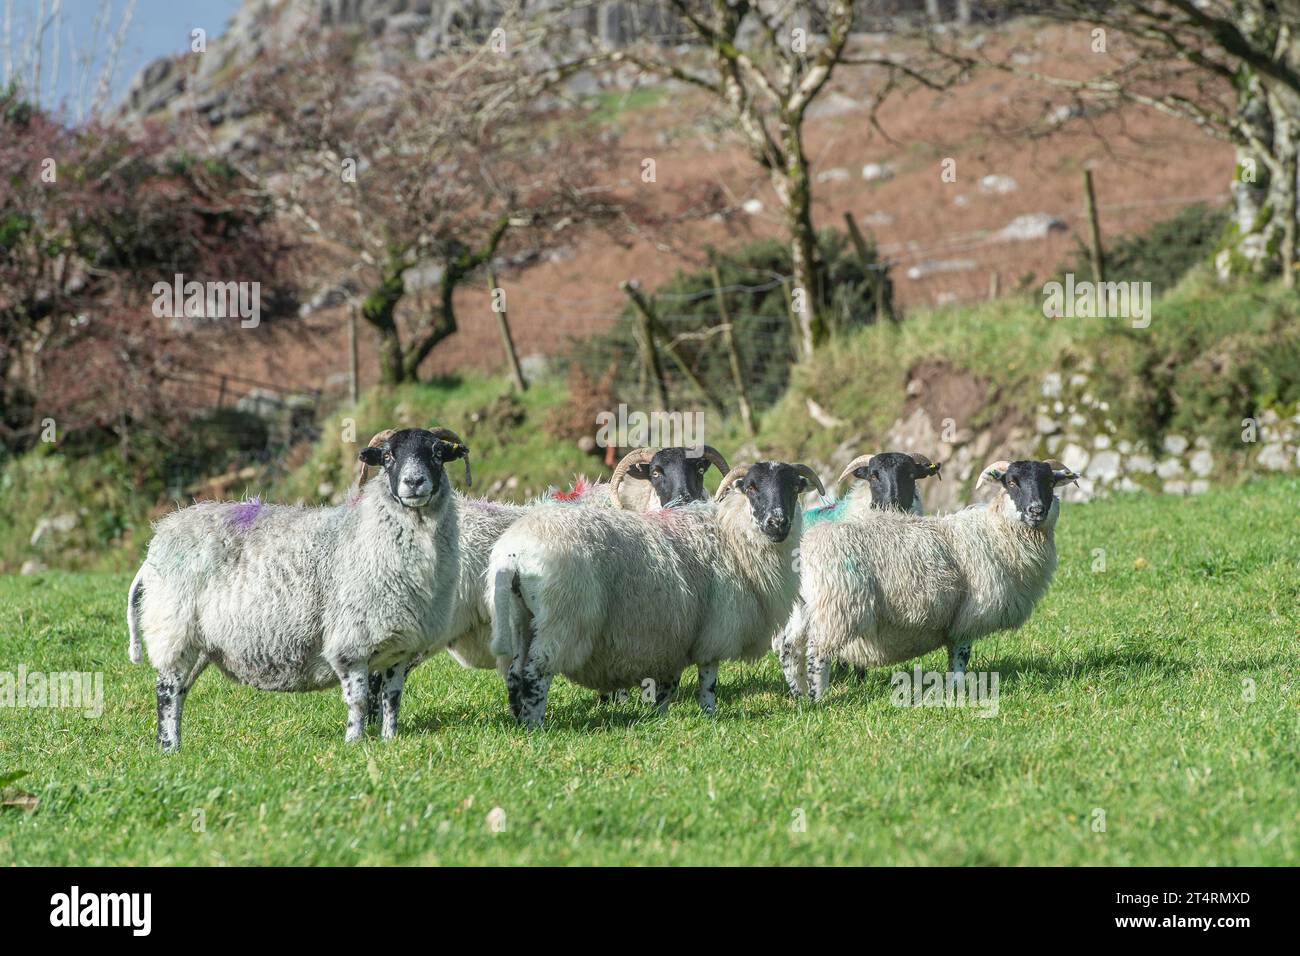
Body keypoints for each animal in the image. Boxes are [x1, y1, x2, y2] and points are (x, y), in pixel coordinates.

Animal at [126, 427, 470, 750]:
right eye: (388, 457)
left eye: (438, 453)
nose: (414, 482)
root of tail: (158, 541)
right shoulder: (350, 643)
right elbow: (358, 700)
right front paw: (354, 743)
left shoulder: (399, 649)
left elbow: (392, 700)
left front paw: (389, 740)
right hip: (173, 629)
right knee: (167, 691)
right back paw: (169, 747)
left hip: (200, 642)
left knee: (181, 691)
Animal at [487, 460, 825, 727]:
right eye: (752, 487)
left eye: (794, 487)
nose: (777, 523)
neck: (731, 534)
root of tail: (513, 553)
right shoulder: (714, 630)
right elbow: (708, 680)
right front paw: (710, 716)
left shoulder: (672, 636)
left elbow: (667, 687)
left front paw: (659, 718)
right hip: (562, 620)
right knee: (535, 672)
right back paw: (536, 726)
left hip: (520, 618)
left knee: (515, 672)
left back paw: (520, 720)